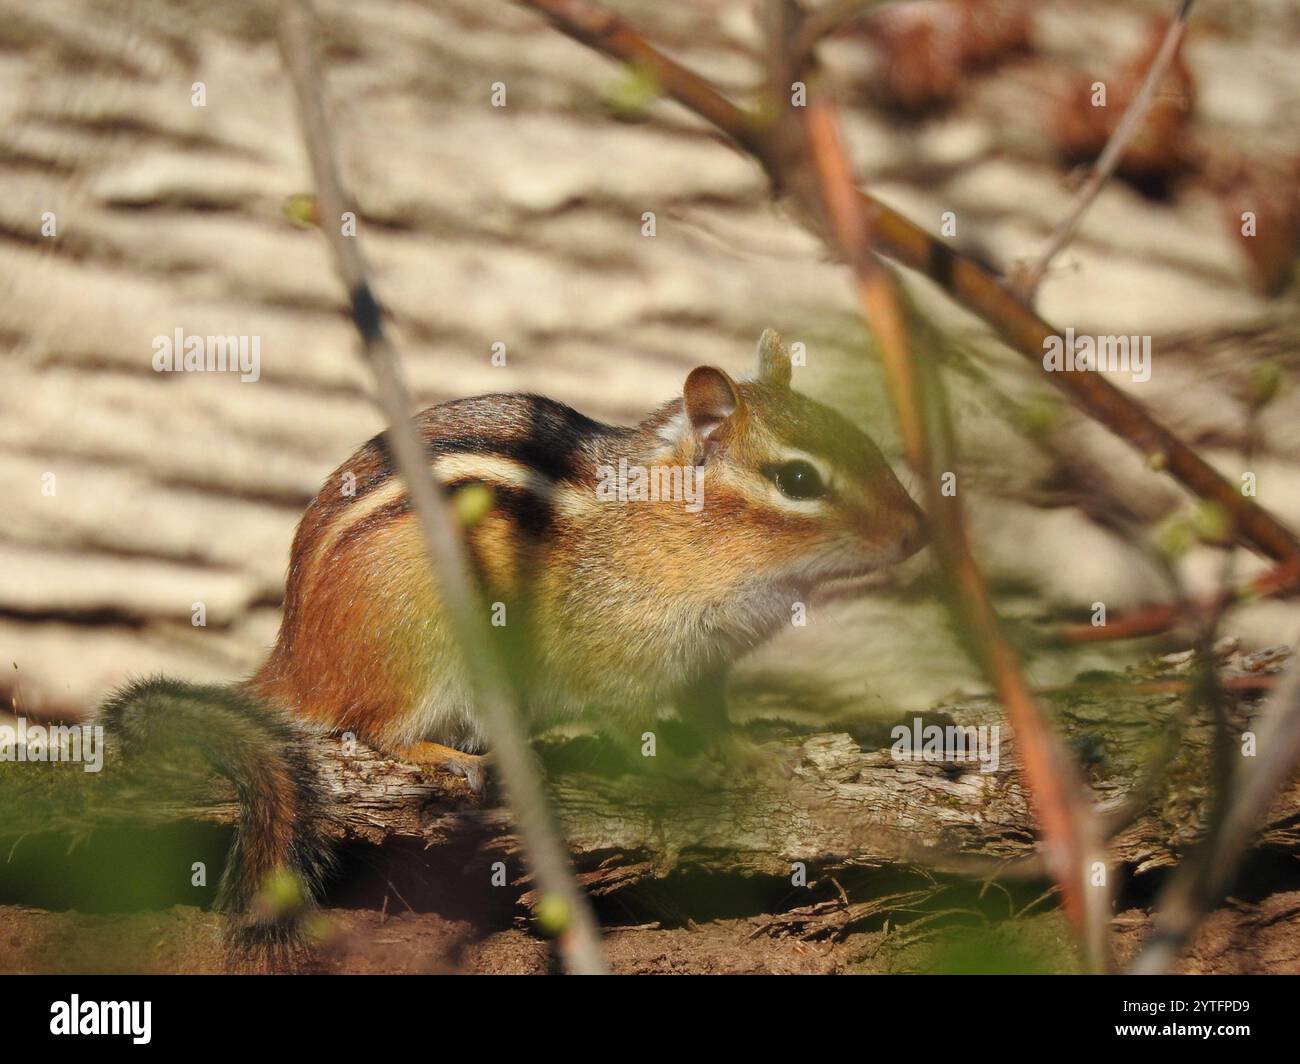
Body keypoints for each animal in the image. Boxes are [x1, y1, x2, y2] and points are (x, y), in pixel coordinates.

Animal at [97, 329, 925, 951]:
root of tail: (296, 661)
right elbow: (631, 729)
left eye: (865, 439)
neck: (677, 525)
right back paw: (445, 755)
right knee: (371, 728)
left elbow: (712, 716)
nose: (917, 531)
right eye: (798, 479)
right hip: (421, 646)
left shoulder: (704, 666)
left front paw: (746, 756)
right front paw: (684, 774)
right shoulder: (614, 656)